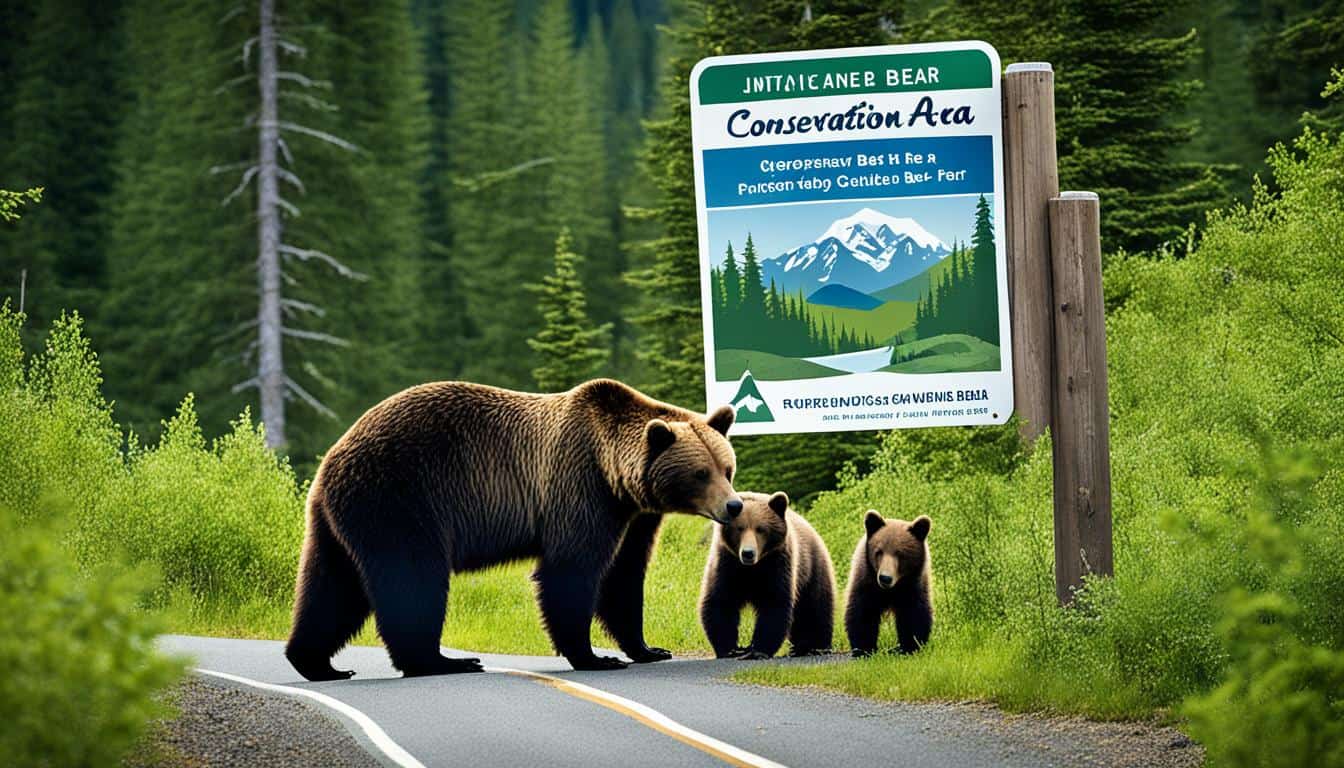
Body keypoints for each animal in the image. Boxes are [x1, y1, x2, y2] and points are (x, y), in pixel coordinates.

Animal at [284, 378, 741, 681]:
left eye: (727, 467)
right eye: (701, 473)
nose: (733, 505)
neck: (614, 474)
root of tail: (332, 458)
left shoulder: (633, 516)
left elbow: (623, 576)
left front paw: (647, 648)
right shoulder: (578, 488)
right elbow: (570, 571)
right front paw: (593, 656)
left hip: (341, 520)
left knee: (332, 587)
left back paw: (318, 663)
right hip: (401, 500)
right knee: (412, 579)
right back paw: (443, 661)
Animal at [699, 491, 836, 659]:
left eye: (760, 529)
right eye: (739, 528)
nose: (748, 553)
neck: (752, 568)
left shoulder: (777, 564)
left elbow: (774, 603)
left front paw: (757, 650)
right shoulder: (726, 563)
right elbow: (721, 601)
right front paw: (729, 649)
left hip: (812, 568)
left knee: (815, 608)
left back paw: (816, 647)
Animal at [844, 510, 933, 656]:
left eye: (900, 554)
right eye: (879, 551)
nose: (885, 578)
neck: (891, 590)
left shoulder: (913, 585)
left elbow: (913, 614)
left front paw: (911, 646)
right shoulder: (866, 582)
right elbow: (863, 613)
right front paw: (864, 649)